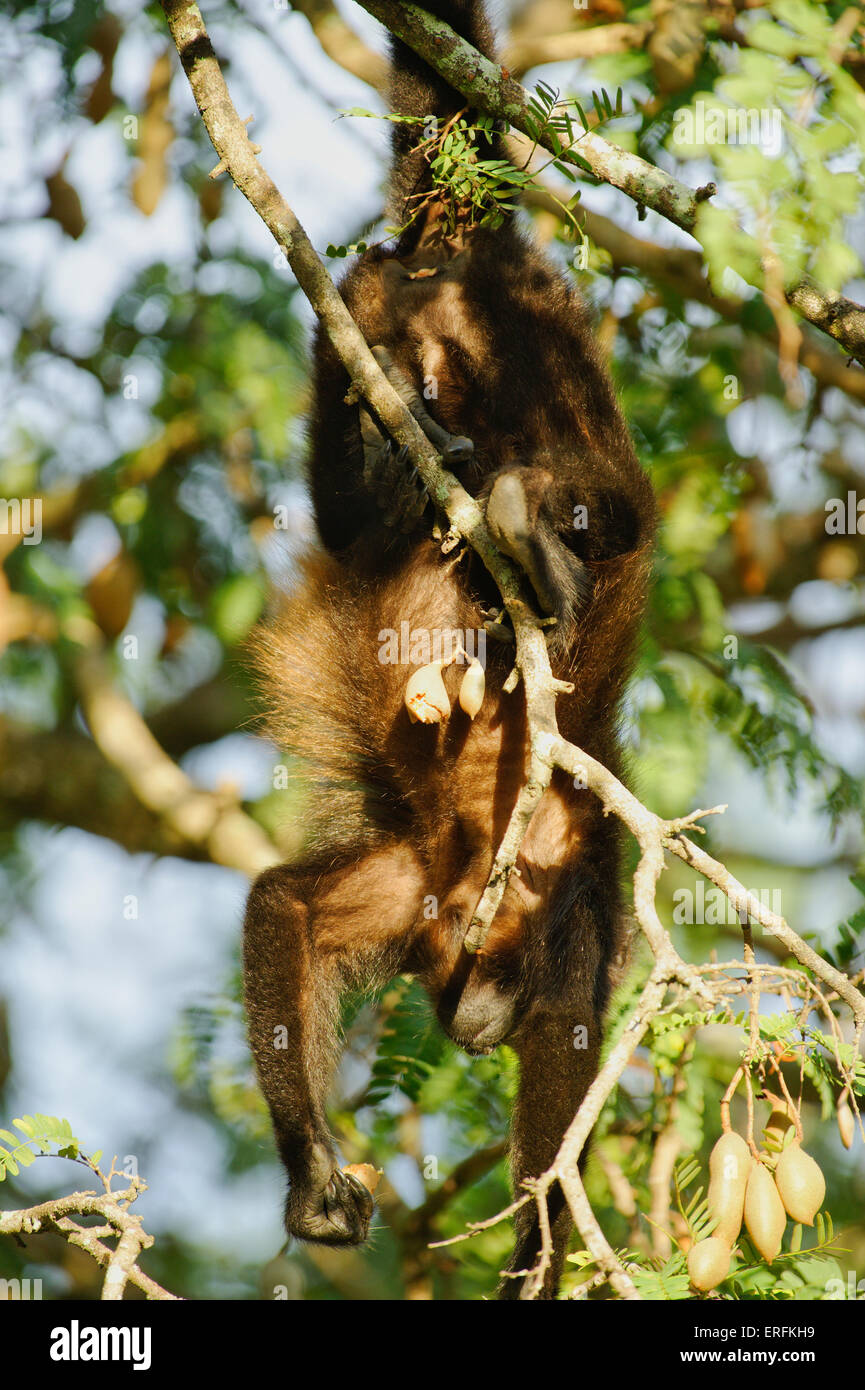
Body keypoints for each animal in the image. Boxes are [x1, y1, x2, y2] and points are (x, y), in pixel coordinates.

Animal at [242, 0, 656, 1298]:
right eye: (489, 1014)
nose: (470, 1025)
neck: (489, 879)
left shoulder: (435, 885)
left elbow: (282, 909)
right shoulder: (554, 904)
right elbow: (563, 1080)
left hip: (424, 315)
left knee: (362, 462)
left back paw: (401, 446)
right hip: (539, 330)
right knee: (615, 490)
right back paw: (529, 526)